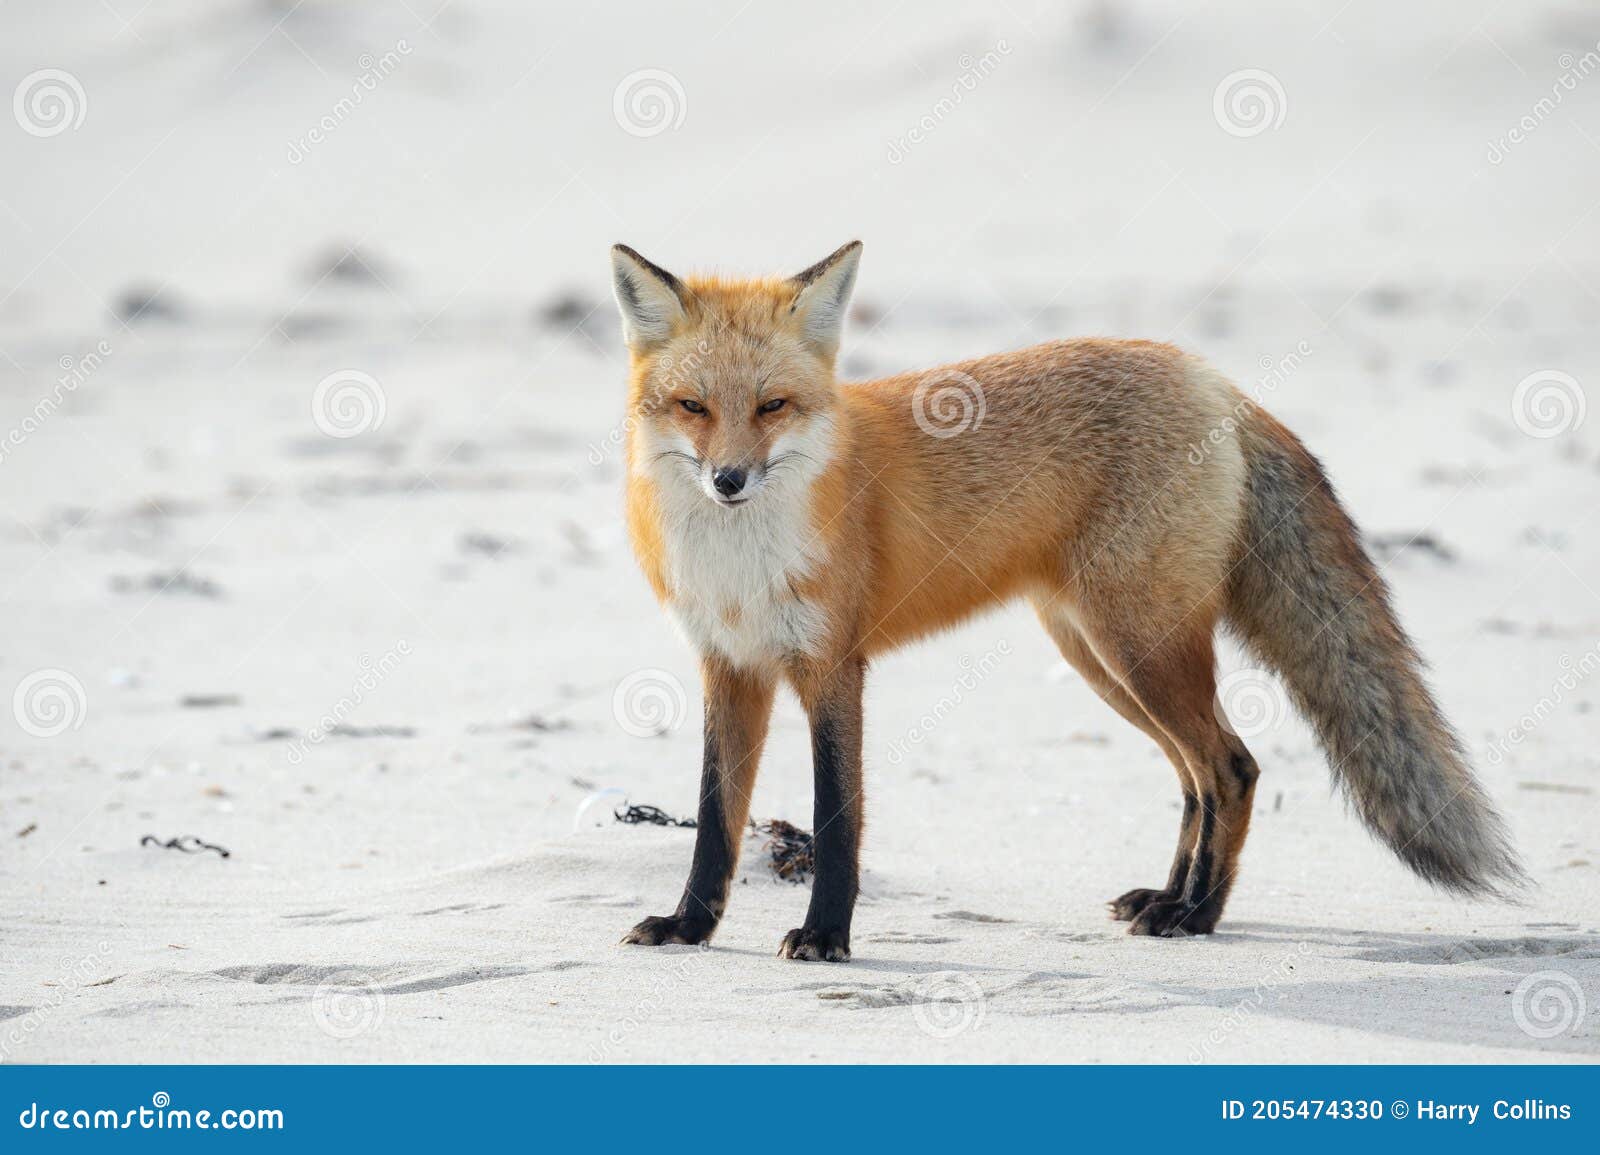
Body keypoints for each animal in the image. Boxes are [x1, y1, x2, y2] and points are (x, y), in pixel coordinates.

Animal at [609, 239, 1525, 961]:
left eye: (773, 406)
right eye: (693, 406)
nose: (729, 480)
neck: (741, 560)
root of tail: (1214, 380)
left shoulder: (833, 665)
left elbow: (835, 817)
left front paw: (827, 936)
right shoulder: (730, 665)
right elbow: (714, 820)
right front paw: (689, 927)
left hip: (1139, 648)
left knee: (1232, 766)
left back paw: (1197, 916)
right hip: (1101, 656)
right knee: (1197, 776)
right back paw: (1169, 897)